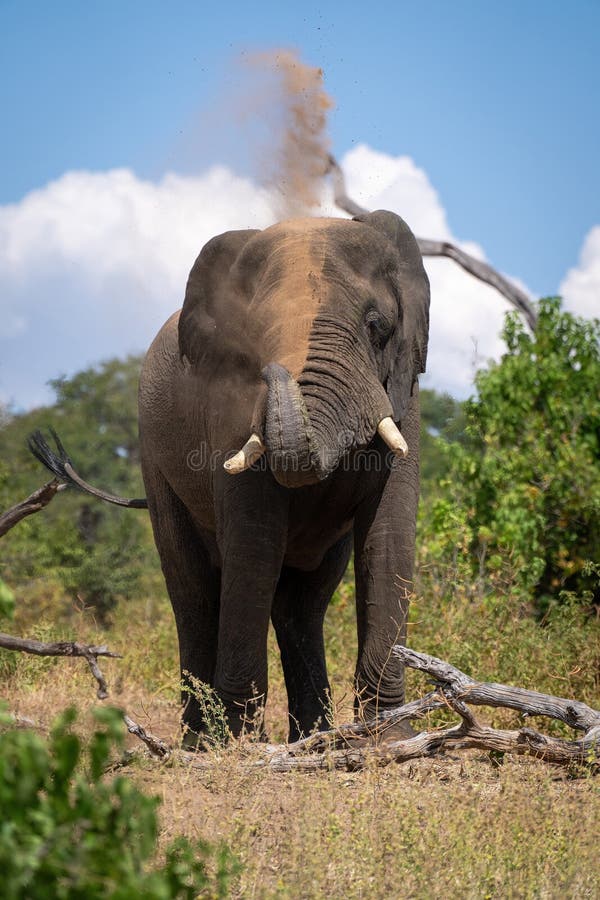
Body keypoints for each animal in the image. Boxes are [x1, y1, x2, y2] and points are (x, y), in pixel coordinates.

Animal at [135, 209, 430, 744]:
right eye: (254, 342)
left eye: (376, 326)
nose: (276, 372)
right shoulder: (229, 407)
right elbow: (253, 543)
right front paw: (241, 746)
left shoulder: (404, 395)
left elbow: (388, 535)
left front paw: (390, 738)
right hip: (153, 455)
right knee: (194, 594)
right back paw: (201, 743)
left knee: (302, 602)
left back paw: (312, 738)